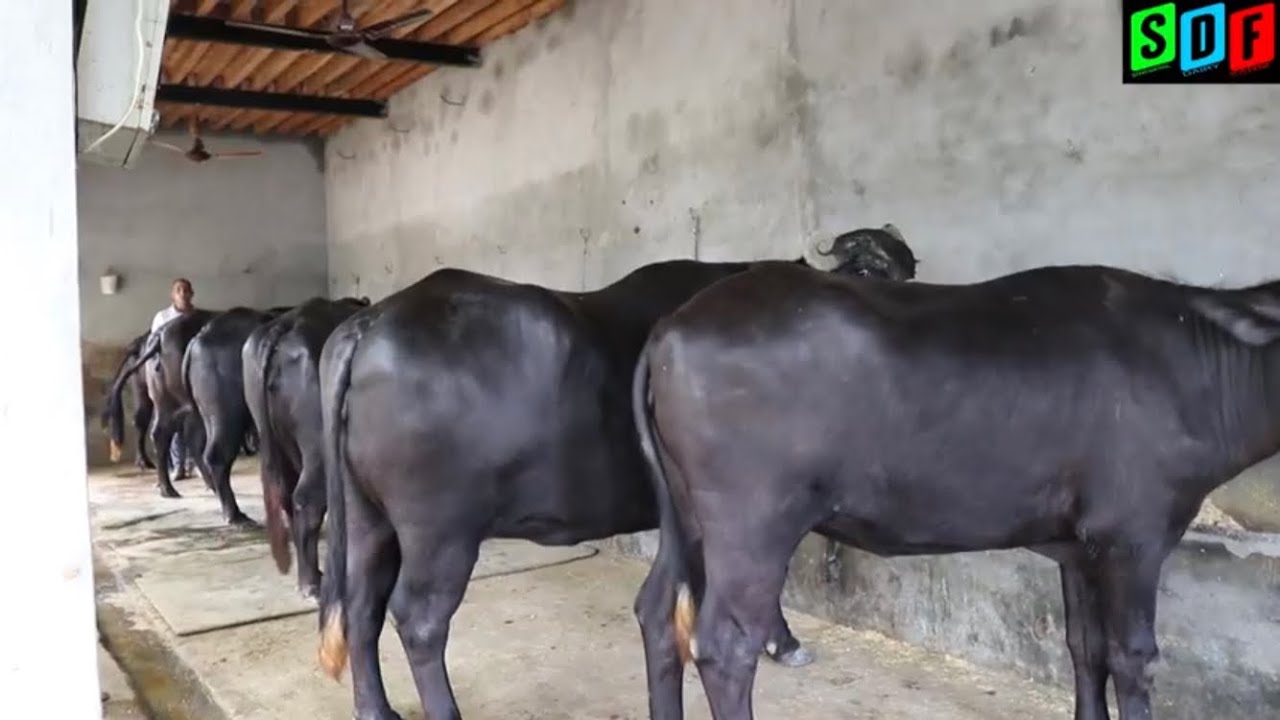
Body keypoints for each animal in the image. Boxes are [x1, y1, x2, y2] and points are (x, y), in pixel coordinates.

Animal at [242, 295, 371, 598]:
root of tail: (285, 326)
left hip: (277, 442)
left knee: (286, 494)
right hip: (317, 448)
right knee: (306, 500)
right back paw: (312, 582)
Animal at [313, 227, 918, 720]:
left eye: (905, 274)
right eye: (868, 273)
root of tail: (371, 323)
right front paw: (783, 641)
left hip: (369, 519)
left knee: (361, 607)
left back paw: (376, 709)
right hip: (439, 530)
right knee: (418, 619)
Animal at [629, 260, 1280, 720]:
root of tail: (670, 327)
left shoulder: (1079, 547)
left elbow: (1084, 649)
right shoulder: (1133, 537)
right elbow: (1132, 659)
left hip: (686, 517)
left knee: (659, 613)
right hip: (753, 525)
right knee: (724, 645)